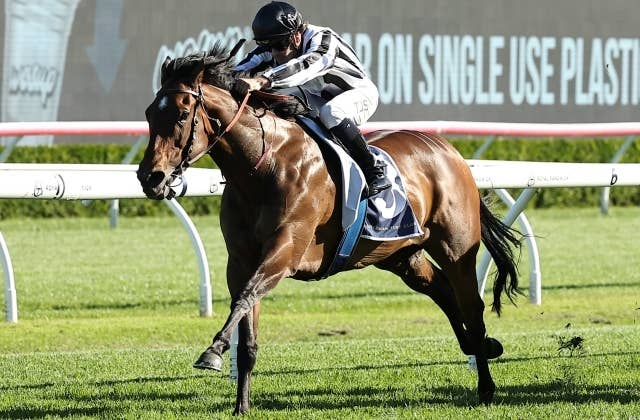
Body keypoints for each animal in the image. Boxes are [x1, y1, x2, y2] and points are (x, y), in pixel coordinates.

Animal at [137, 43, 521, 415]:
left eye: (182, 114)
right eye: (149, 113)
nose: (150, 177)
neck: (263, 167)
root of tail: (450, 151)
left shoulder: (285, 252)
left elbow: (246, 297)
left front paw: (212, 352)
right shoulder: (241, 261)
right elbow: (246, 327)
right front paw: (241, 405)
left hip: (456, 248)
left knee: (471, 305)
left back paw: (486, 384)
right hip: (400, 254)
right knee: (441, 289)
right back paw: (483, 346)